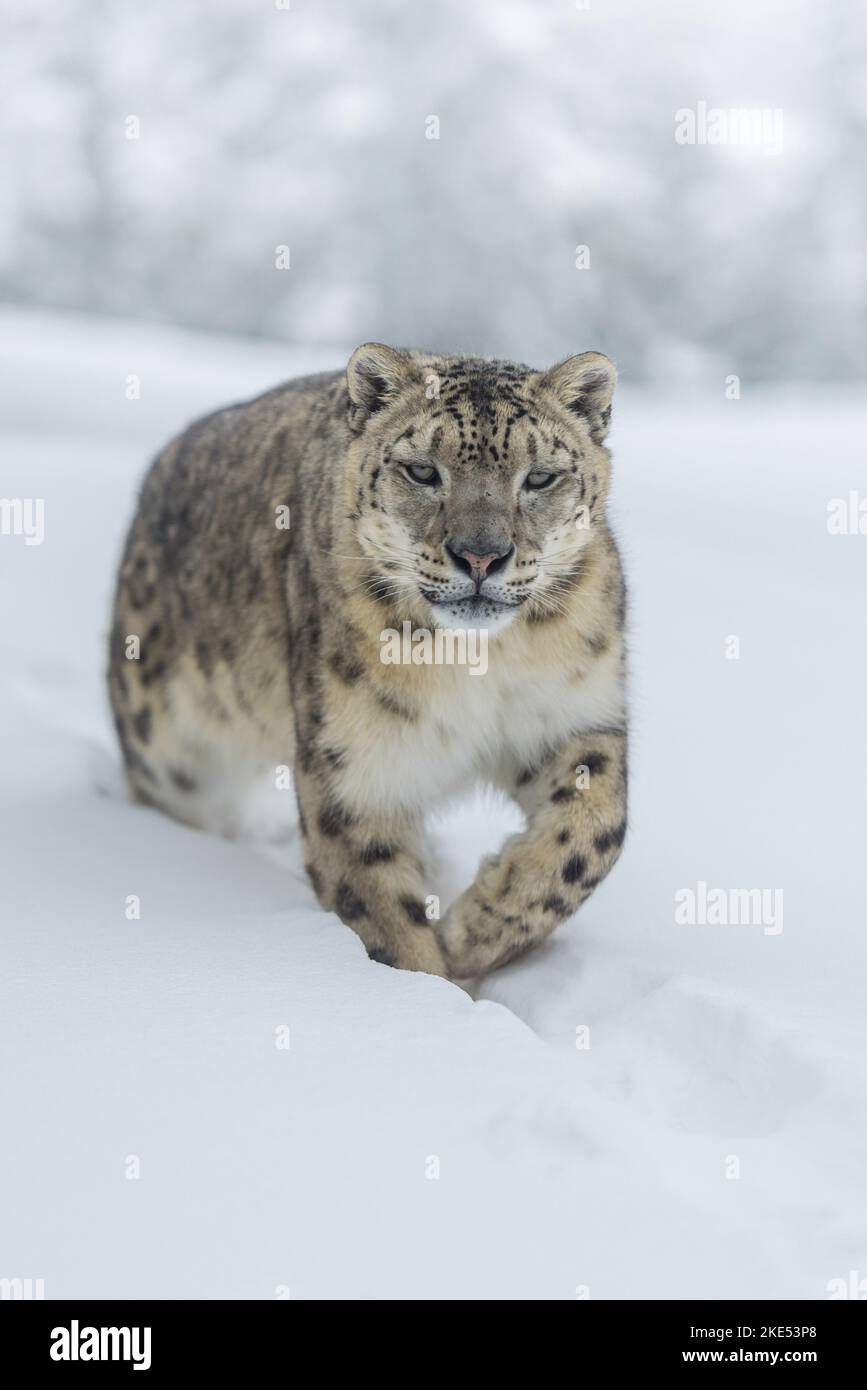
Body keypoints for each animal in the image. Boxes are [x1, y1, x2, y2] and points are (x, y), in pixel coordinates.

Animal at [108, 343, 628, 979]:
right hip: (166, 748)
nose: (481, 556)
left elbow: (594, 833)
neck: (481, 660)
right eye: (423, 471)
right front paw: (427, 987)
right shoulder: (357, 767)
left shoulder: (574, 716)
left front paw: (477, 930)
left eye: (540, 477)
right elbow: (381, 915)